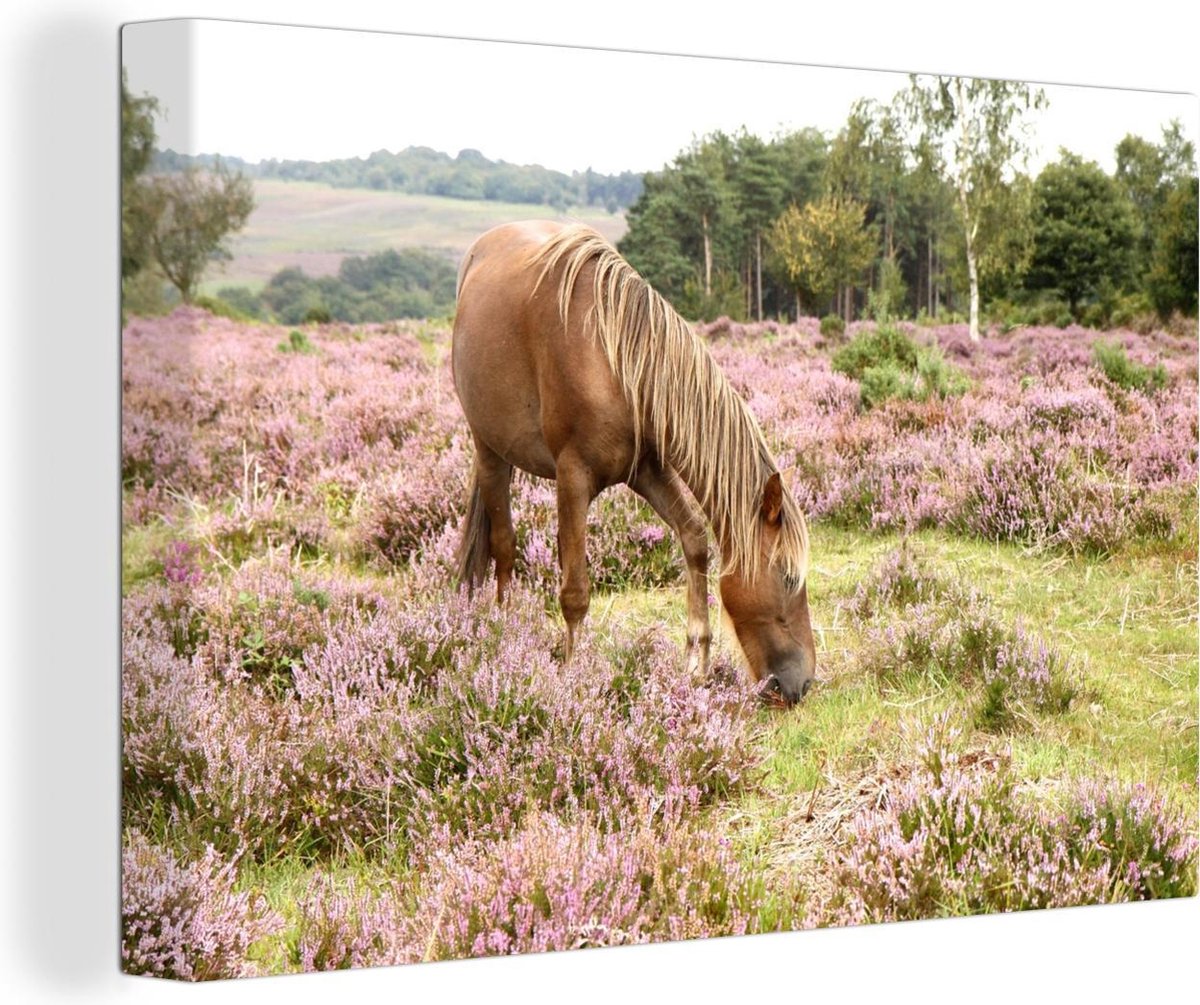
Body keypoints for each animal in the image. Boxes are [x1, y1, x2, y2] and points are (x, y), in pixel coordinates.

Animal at [450, 220, 815, 706]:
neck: (618, 360)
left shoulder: (647, 470)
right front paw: (572, 678)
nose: (802, 684)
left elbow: (694, 538)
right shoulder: (573, 477)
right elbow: (575, 592)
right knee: (504, 547)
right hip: (490, 451)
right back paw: (503, 633)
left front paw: (696, 661)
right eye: (789, 578)